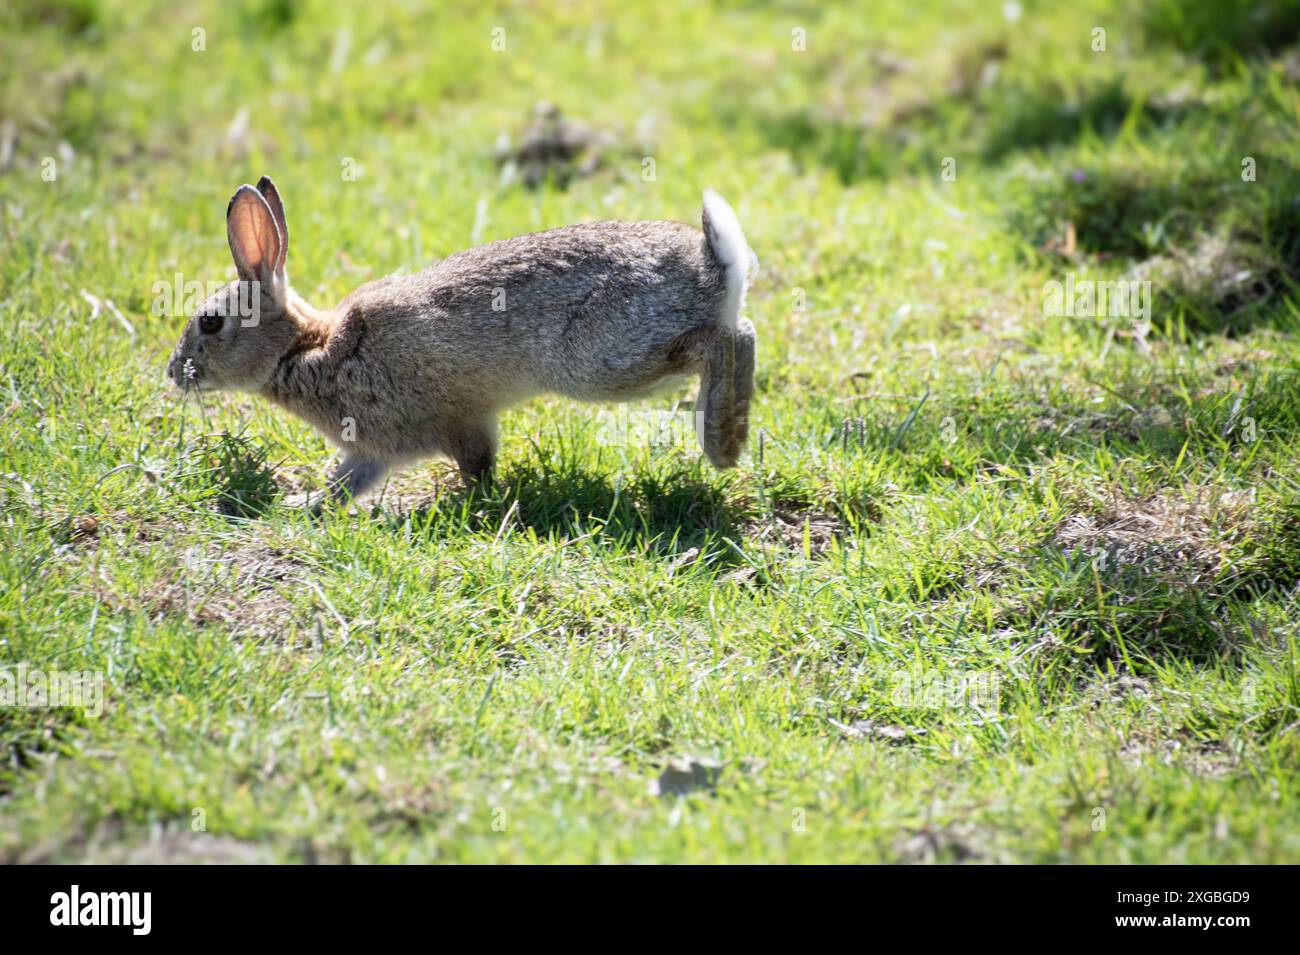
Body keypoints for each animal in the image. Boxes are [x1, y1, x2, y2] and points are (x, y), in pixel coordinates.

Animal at [166, 176, 757, 506]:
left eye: (211, 323)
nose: (174, 374)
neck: (307, 348)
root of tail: (713, 267)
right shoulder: (372, 449)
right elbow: (346, 483)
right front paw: (302, 504)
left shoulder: (450, 422)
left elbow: (475, 463)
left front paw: (464, 503)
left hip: (602, 359)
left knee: (726, 340)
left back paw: (720, 442)